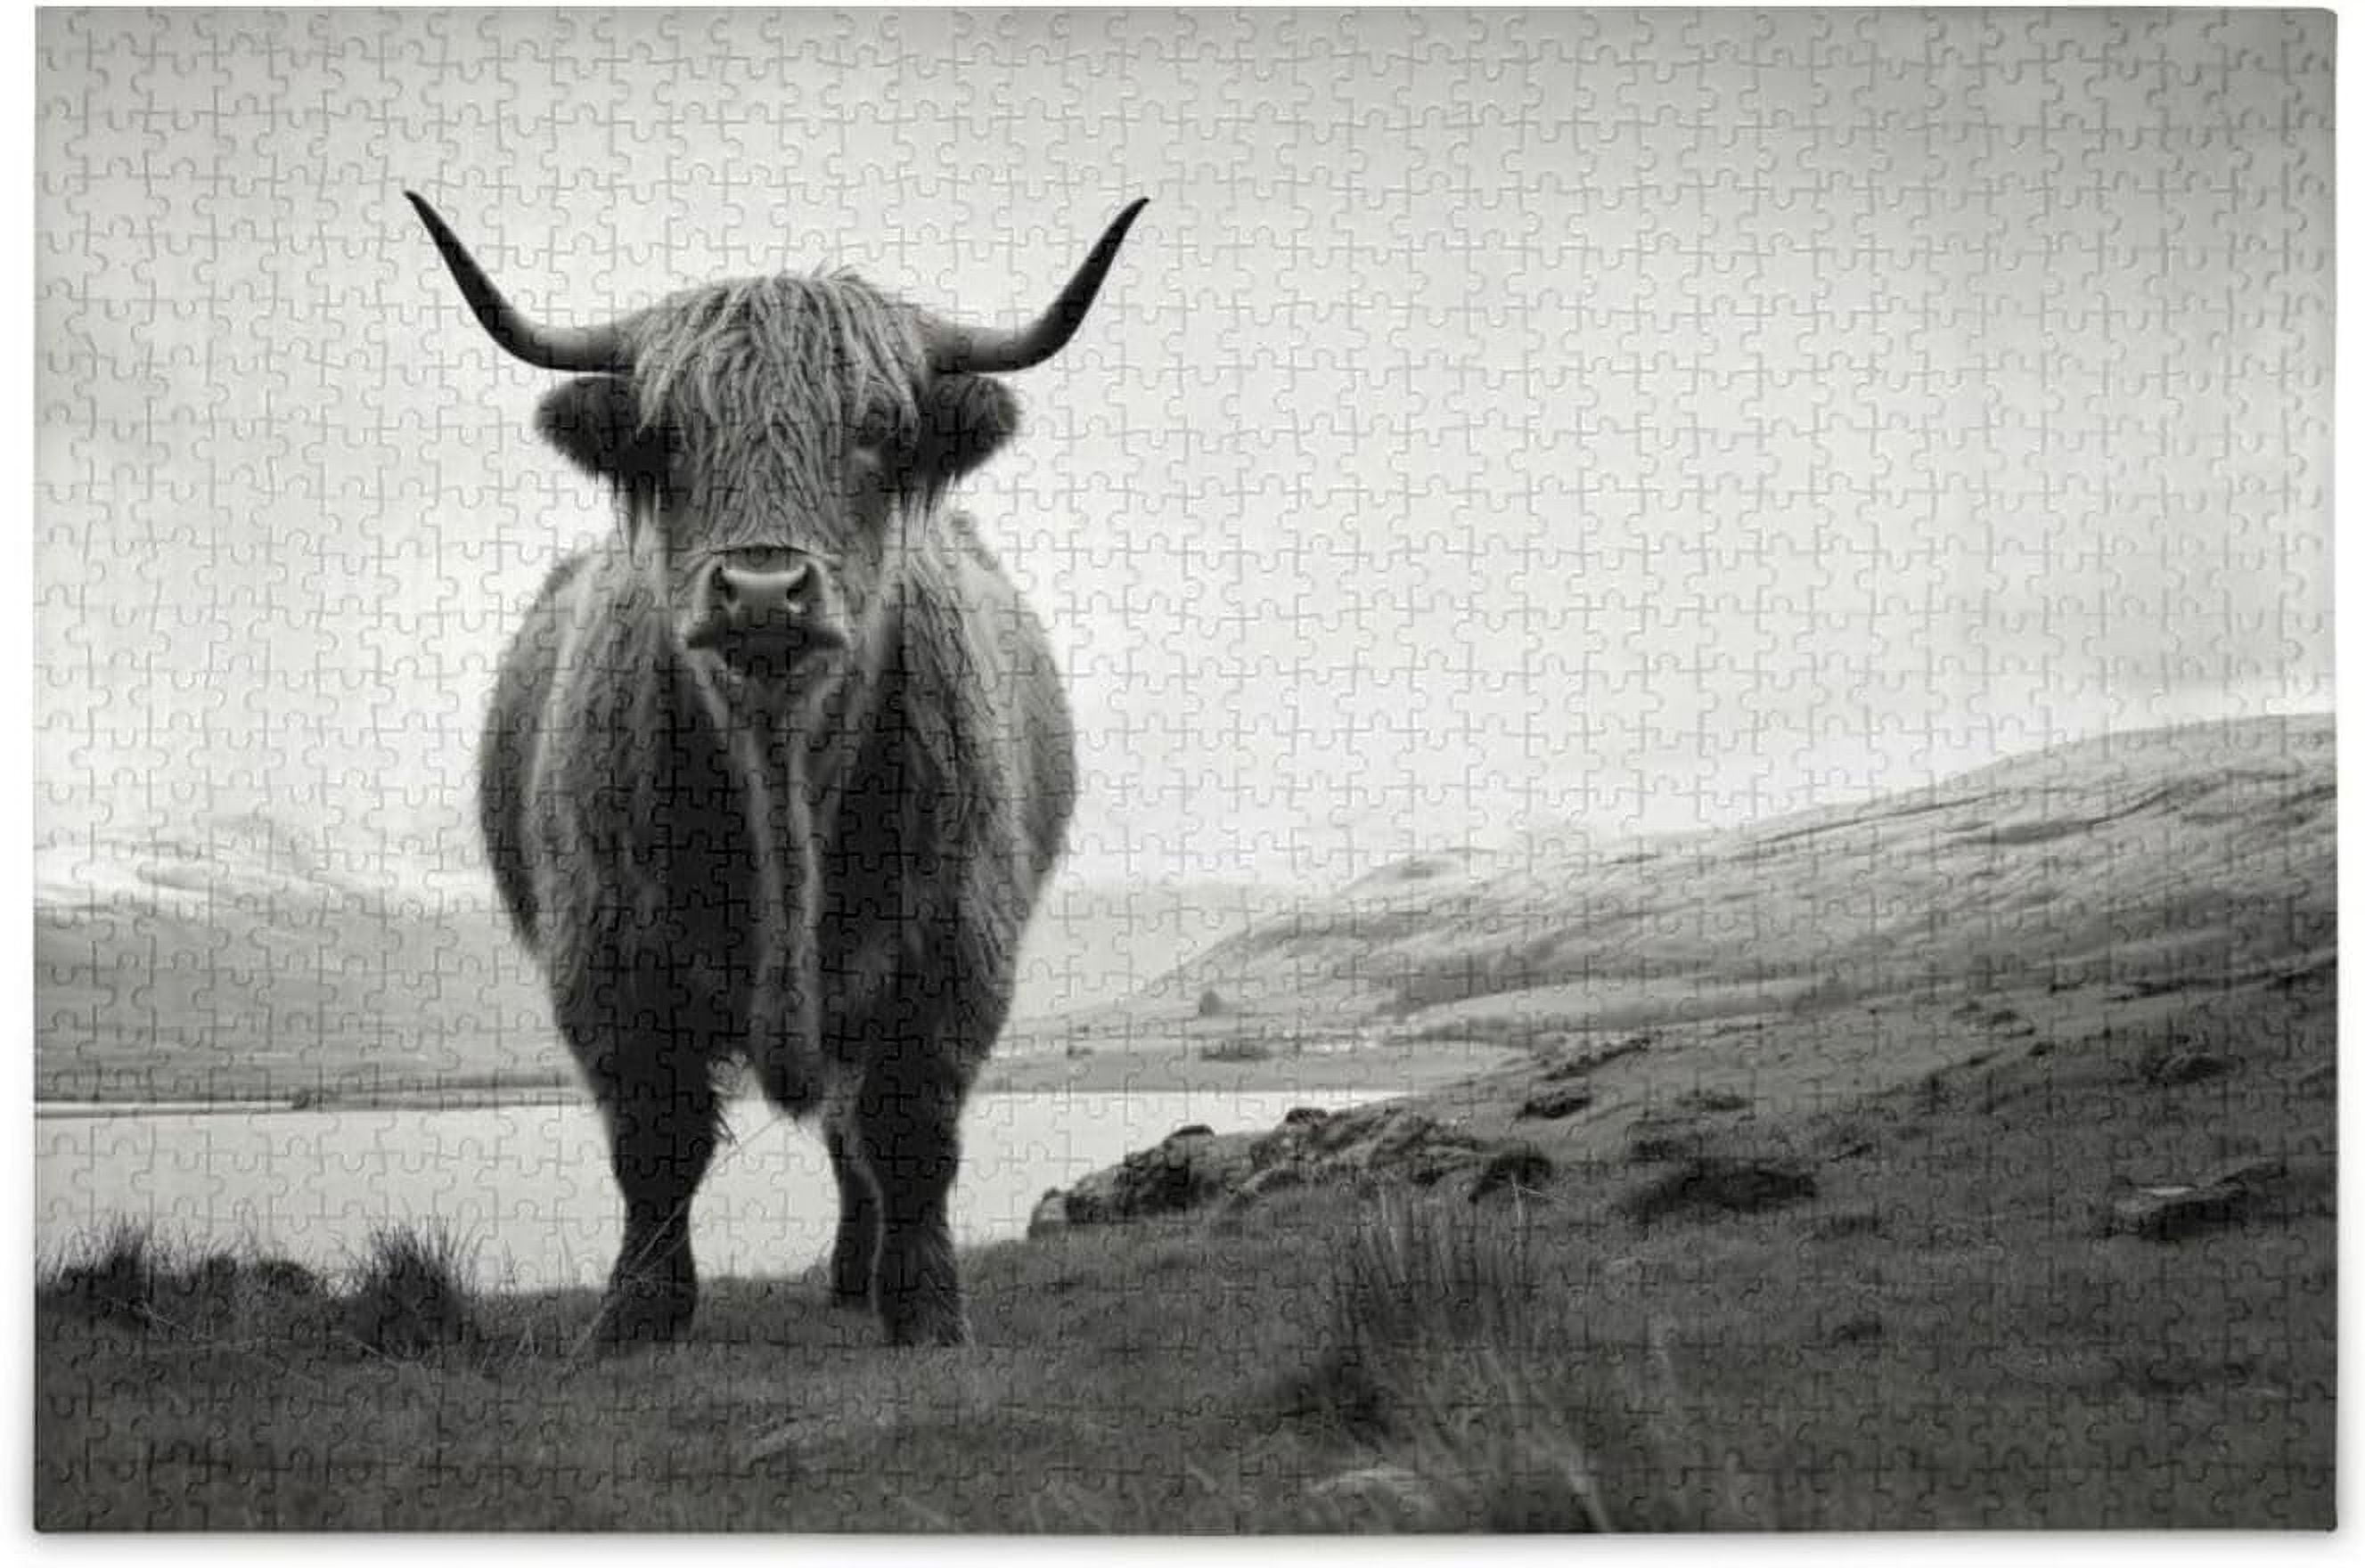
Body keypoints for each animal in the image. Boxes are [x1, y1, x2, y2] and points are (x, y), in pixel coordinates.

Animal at [407, 192, 1146, 1347]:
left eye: (877, 430)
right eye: (666, 437)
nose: (762, 592)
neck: (781, 759)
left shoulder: (949, 949)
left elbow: (910, 1133)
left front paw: (926, 1311)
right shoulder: (608, 959)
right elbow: (654, 1146)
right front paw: (635, 1317)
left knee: (853, 1128)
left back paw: (857, 1270)